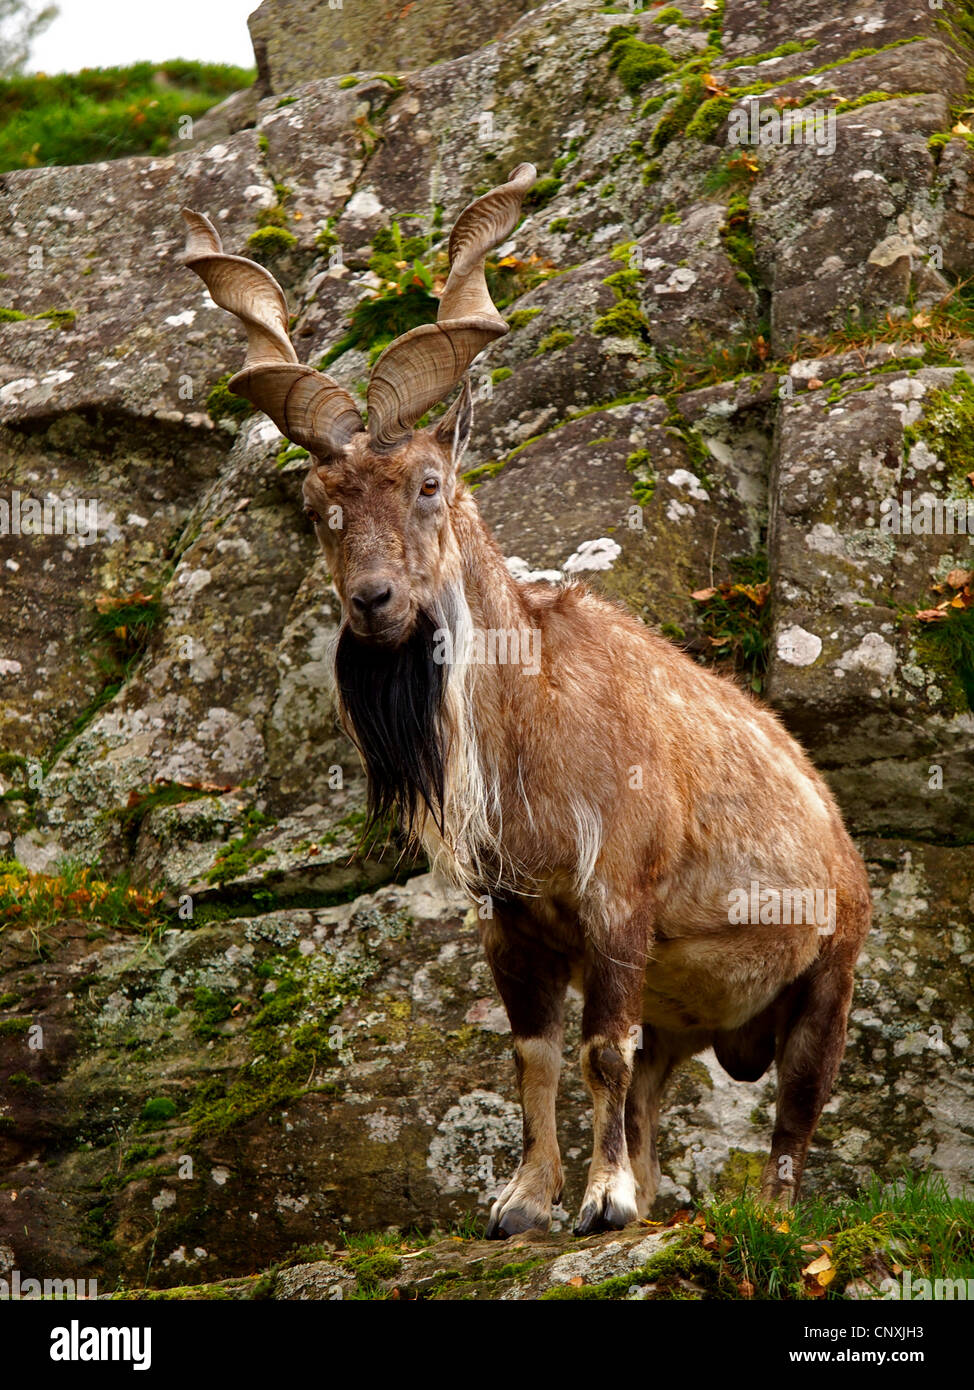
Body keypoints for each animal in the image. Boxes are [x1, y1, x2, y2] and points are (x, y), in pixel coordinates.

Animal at [179, 165, 871, 1237]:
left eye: (428, 482)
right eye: (318, 505)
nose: (373, 603)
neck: (535, 723)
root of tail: (835, 826)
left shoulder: (618, 900)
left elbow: (597, 1050)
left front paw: (603, 1202)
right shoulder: (515, 924)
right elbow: (538, 1058)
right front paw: (524, 1202)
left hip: (825, 982)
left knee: (791, 1120)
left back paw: (761, 1213)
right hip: (687, 1011)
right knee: (653, 1088)